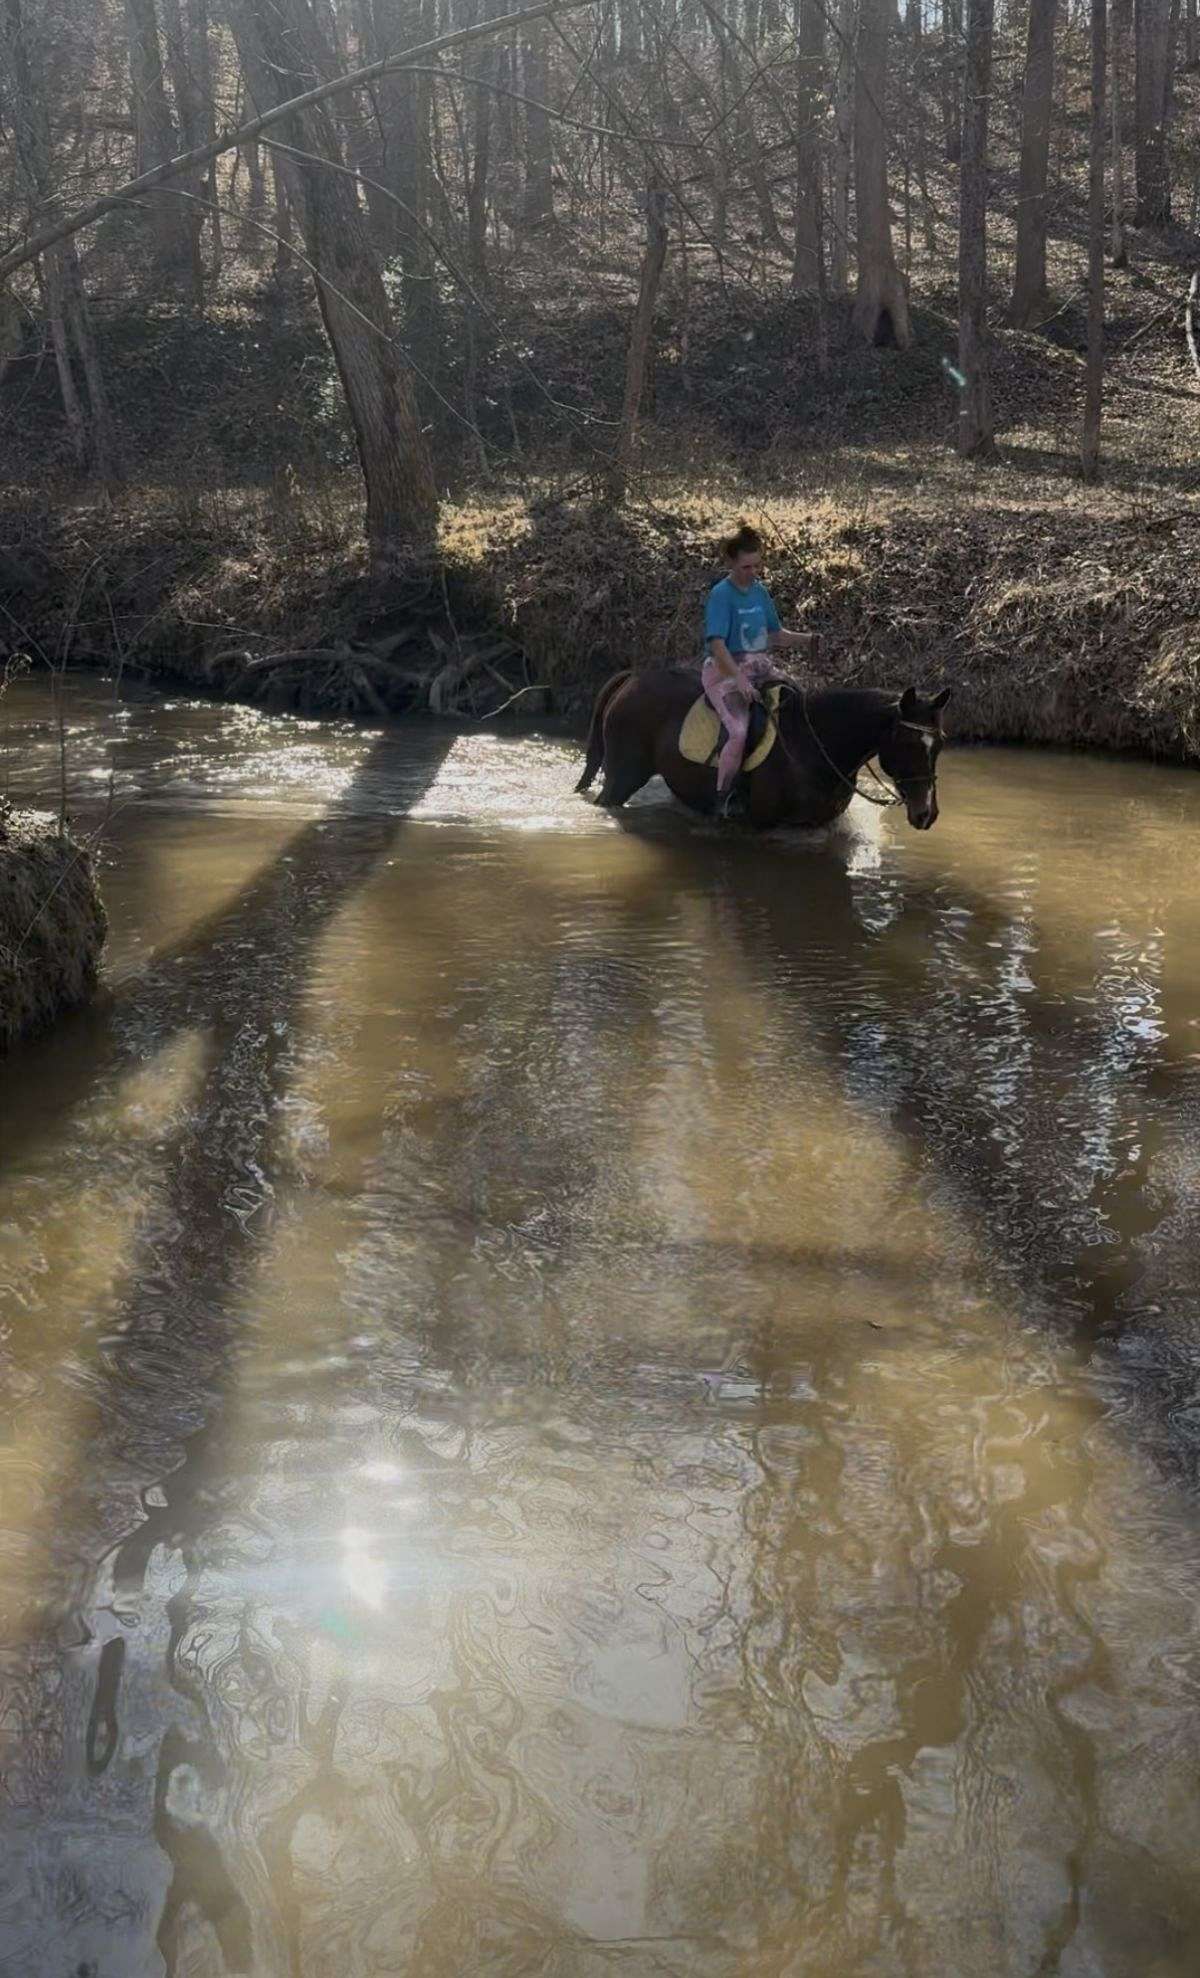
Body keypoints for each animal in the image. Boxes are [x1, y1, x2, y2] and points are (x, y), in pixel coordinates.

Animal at [575, 669, 951, 831]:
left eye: (940, 744)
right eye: (907, 743)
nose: (927, 814)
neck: (814, 746)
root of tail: (632, 677)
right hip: (623, 776)